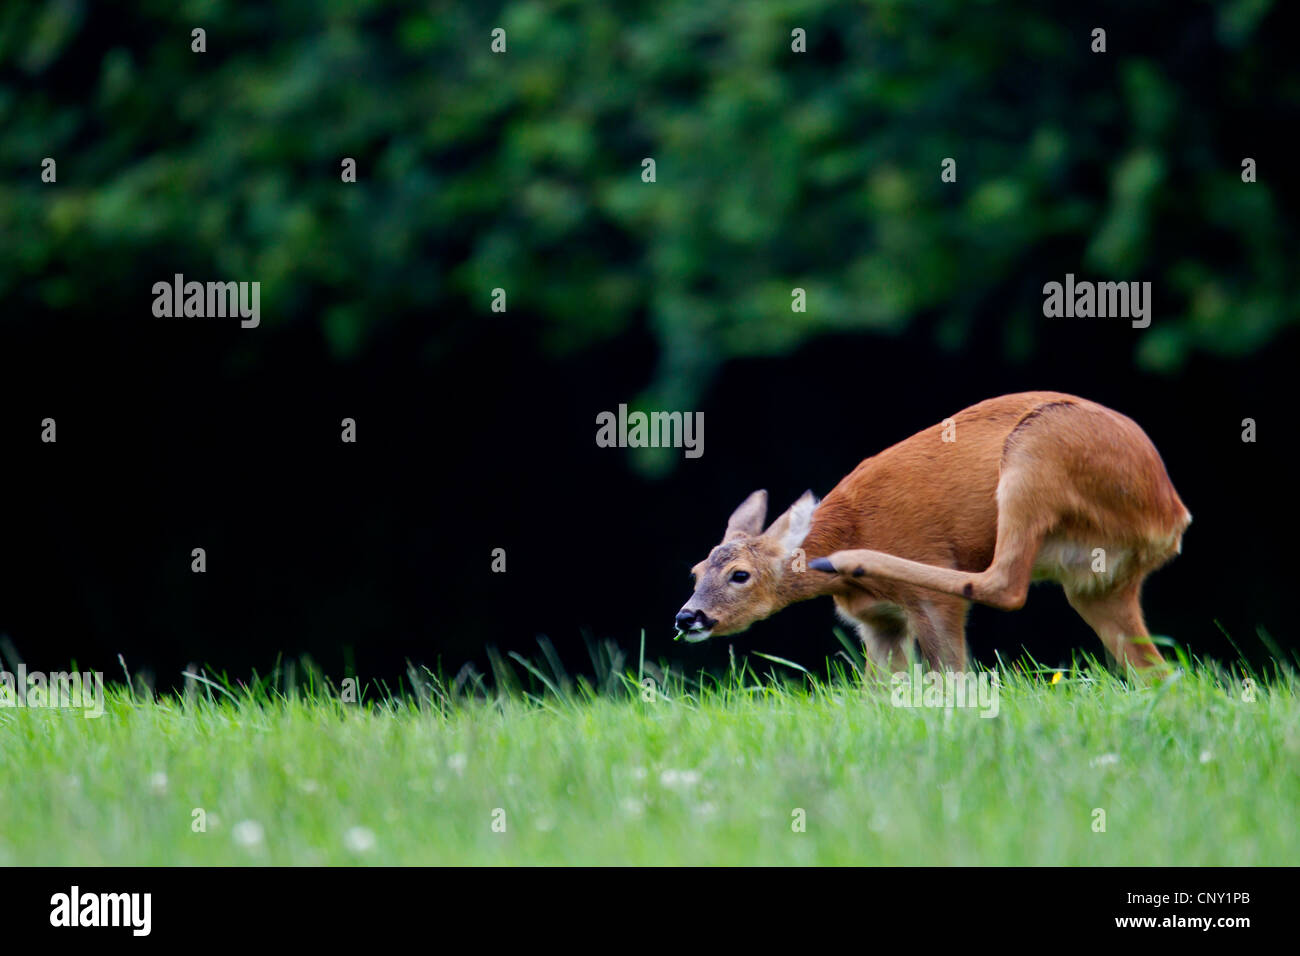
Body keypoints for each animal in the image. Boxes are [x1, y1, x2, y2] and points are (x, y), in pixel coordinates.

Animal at [675, 392, 1190, 676]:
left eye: (740, 575)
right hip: (1099, 582)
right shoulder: (877, 622)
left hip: (1035, 453)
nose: (687, 616)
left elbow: (951, 673)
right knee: (1158, 674)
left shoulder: (928, 599)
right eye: (695, 571)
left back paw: (850, 558)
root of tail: (1171, 513)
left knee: (1003, 584)